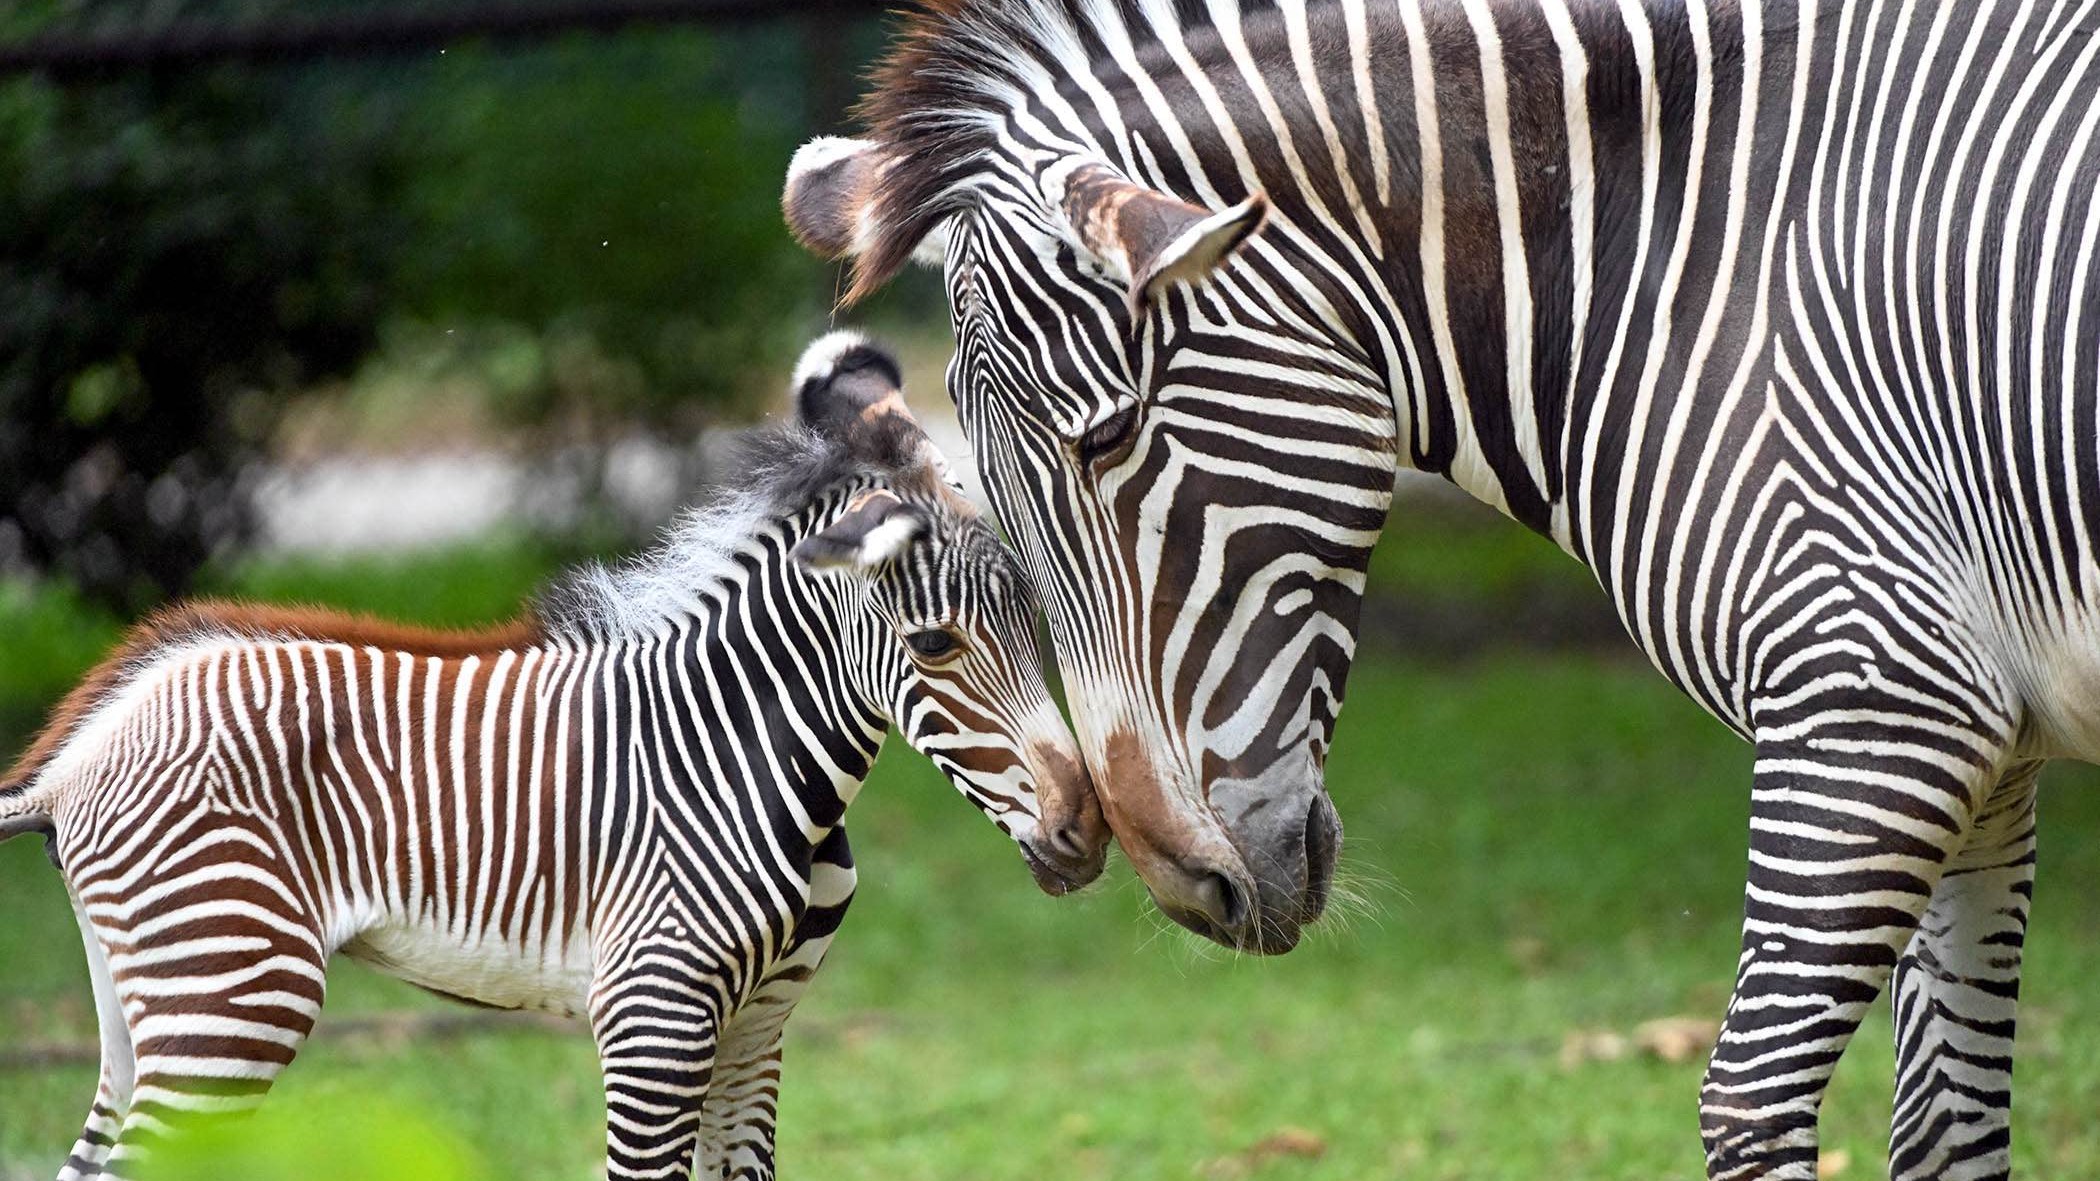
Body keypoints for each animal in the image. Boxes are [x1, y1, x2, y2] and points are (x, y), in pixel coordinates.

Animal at [0, 332, 1108, 1181]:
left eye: (1038, 621)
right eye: (935, 644)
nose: (1086, 833)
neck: (742, 754)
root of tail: (76, 751)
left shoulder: (759, 1025)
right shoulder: (654, 1017)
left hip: (151, 994)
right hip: (232, 988)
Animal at [782, 0, 2100, 1175]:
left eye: (1106, 438)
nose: (1189, 889)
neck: (1674, 256)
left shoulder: (1874, 708)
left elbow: (1748, 1099)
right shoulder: (1987, 754)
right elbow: (1945, 1131)